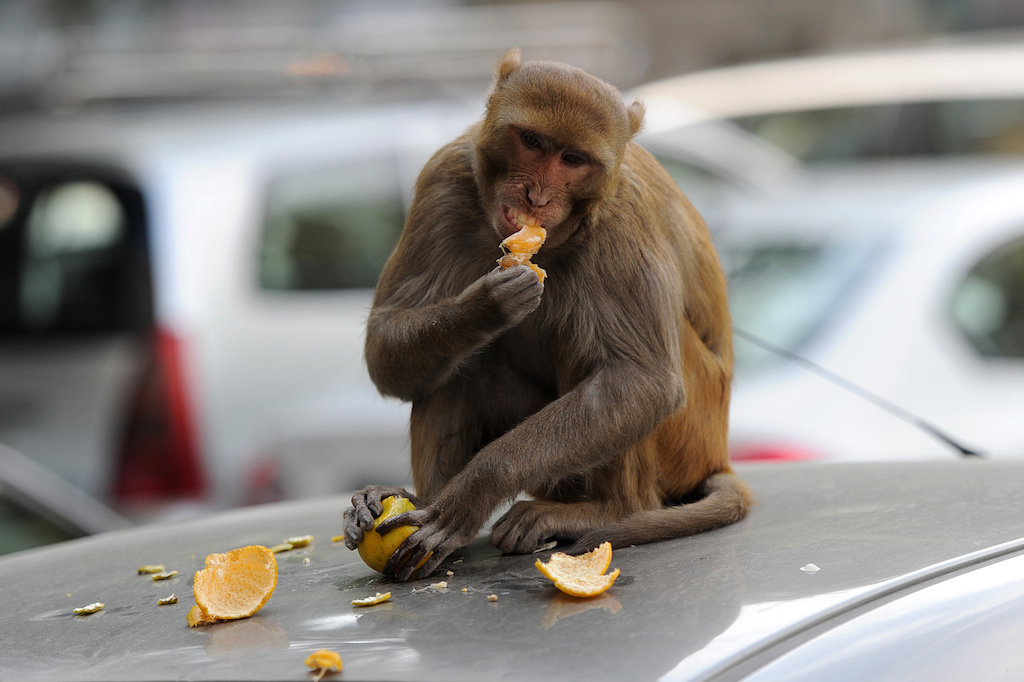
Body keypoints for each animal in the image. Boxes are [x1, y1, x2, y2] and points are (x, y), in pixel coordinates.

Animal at [343, 48, 752, 581]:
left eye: (573, 159)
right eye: (533, 143)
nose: (536, 196)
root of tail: (717, 453)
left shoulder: (621, 216)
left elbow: (642, 381)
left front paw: (471, 495)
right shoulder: (443, 180)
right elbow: (385, 345)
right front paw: (483, 307)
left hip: (687, 441)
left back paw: (607, 510)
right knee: (457, 367)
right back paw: (423, 501)